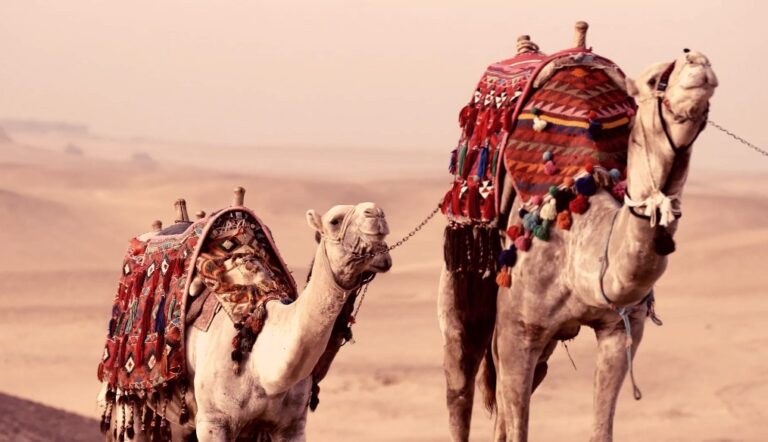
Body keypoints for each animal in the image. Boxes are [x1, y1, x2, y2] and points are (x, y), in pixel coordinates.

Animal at [481, 51, 718, 441]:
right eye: (654, 80)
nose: (698, 60)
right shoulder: (518, 328)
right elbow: (516, 427)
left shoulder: (622, 328)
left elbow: (601, 428)